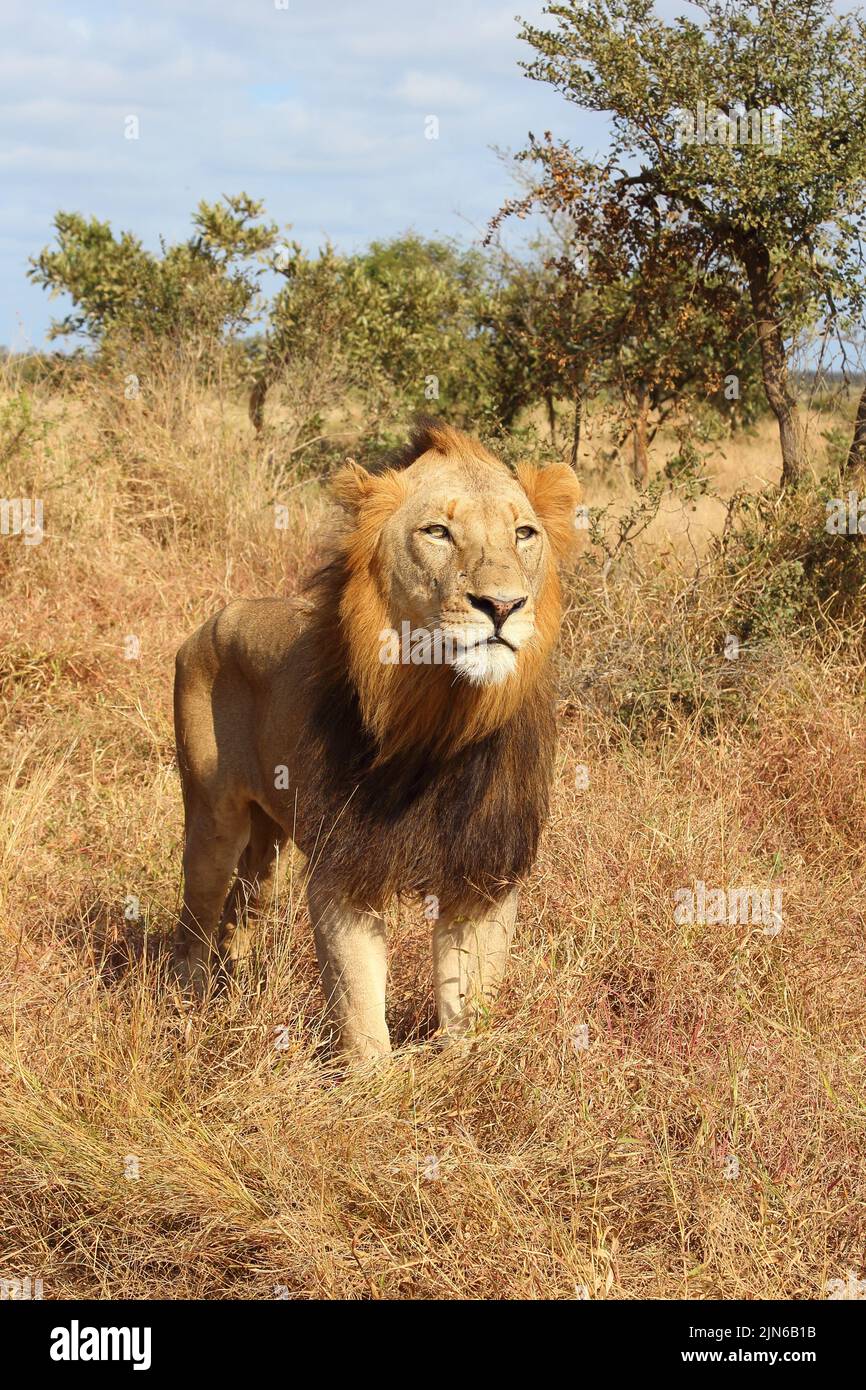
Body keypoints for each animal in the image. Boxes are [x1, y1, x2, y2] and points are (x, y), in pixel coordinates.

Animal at [173, 420, 581, 1058]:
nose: (503, 605)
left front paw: (460, 1069)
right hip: (213, 819)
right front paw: (376, 1081)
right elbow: (362, 1011)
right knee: (197, 918)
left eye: (524, 533)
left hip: (267, 842)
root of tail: (217, 617)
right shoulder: (344, 871)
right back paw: (191, 1011)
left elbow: (468, 1004)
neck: (442, 717)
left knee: (244, 908)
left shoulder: (483, 873)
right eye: (437, 531)